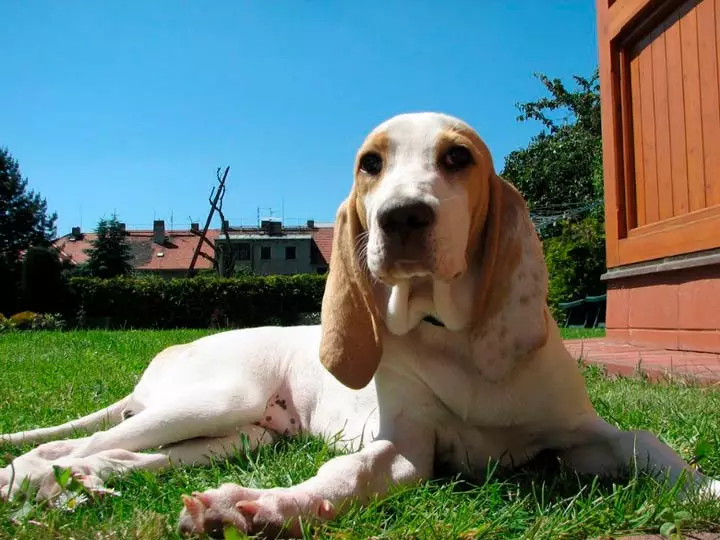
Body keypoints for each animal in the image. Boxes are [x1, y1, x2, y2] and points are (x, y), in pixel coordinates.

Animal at [1, 112, 720, 536]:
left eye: (458, 158)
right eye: (370, 163)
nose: (401, 218)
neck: (454, 339)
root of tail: (165, 357)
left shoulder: (586, 434)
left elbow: (649, 443)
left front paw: (706, 487)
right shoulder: (405, 444)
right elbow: (350, 473)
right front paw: (262, 508)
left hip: (243, 433)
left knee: (121, 454)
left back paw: (85, 485)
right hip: (219, 397)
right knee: (60, 448)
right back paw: (31, 481)